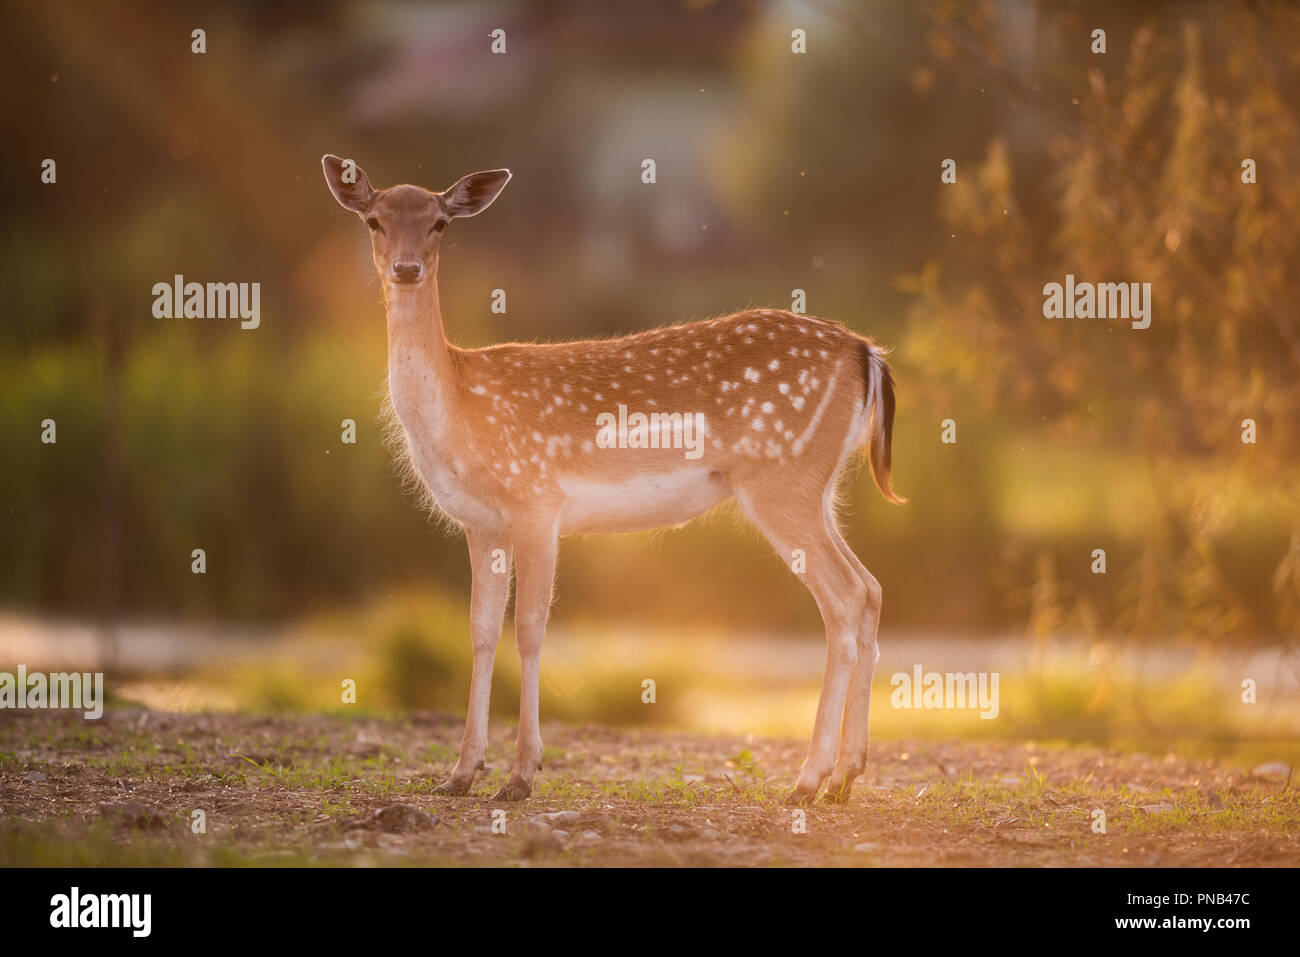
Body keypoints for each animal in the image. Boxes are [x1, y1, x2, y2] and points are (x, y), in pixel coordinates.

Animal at [322, 155, 904, 804]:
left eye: (440, 222)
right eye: (373, 220)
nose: (406, 268)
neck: (459, 409)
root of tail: (867, 353)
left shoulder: (536, 500)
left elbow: (529, 630)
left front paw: (521, 776)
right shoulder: (482, 524)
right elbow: (479, 631)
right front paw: (460, 774)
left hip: (783, 480)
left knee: (845, 597)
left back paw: (807, 780)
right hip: (817, 487)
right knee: (869, 589)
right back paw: (844, 777)